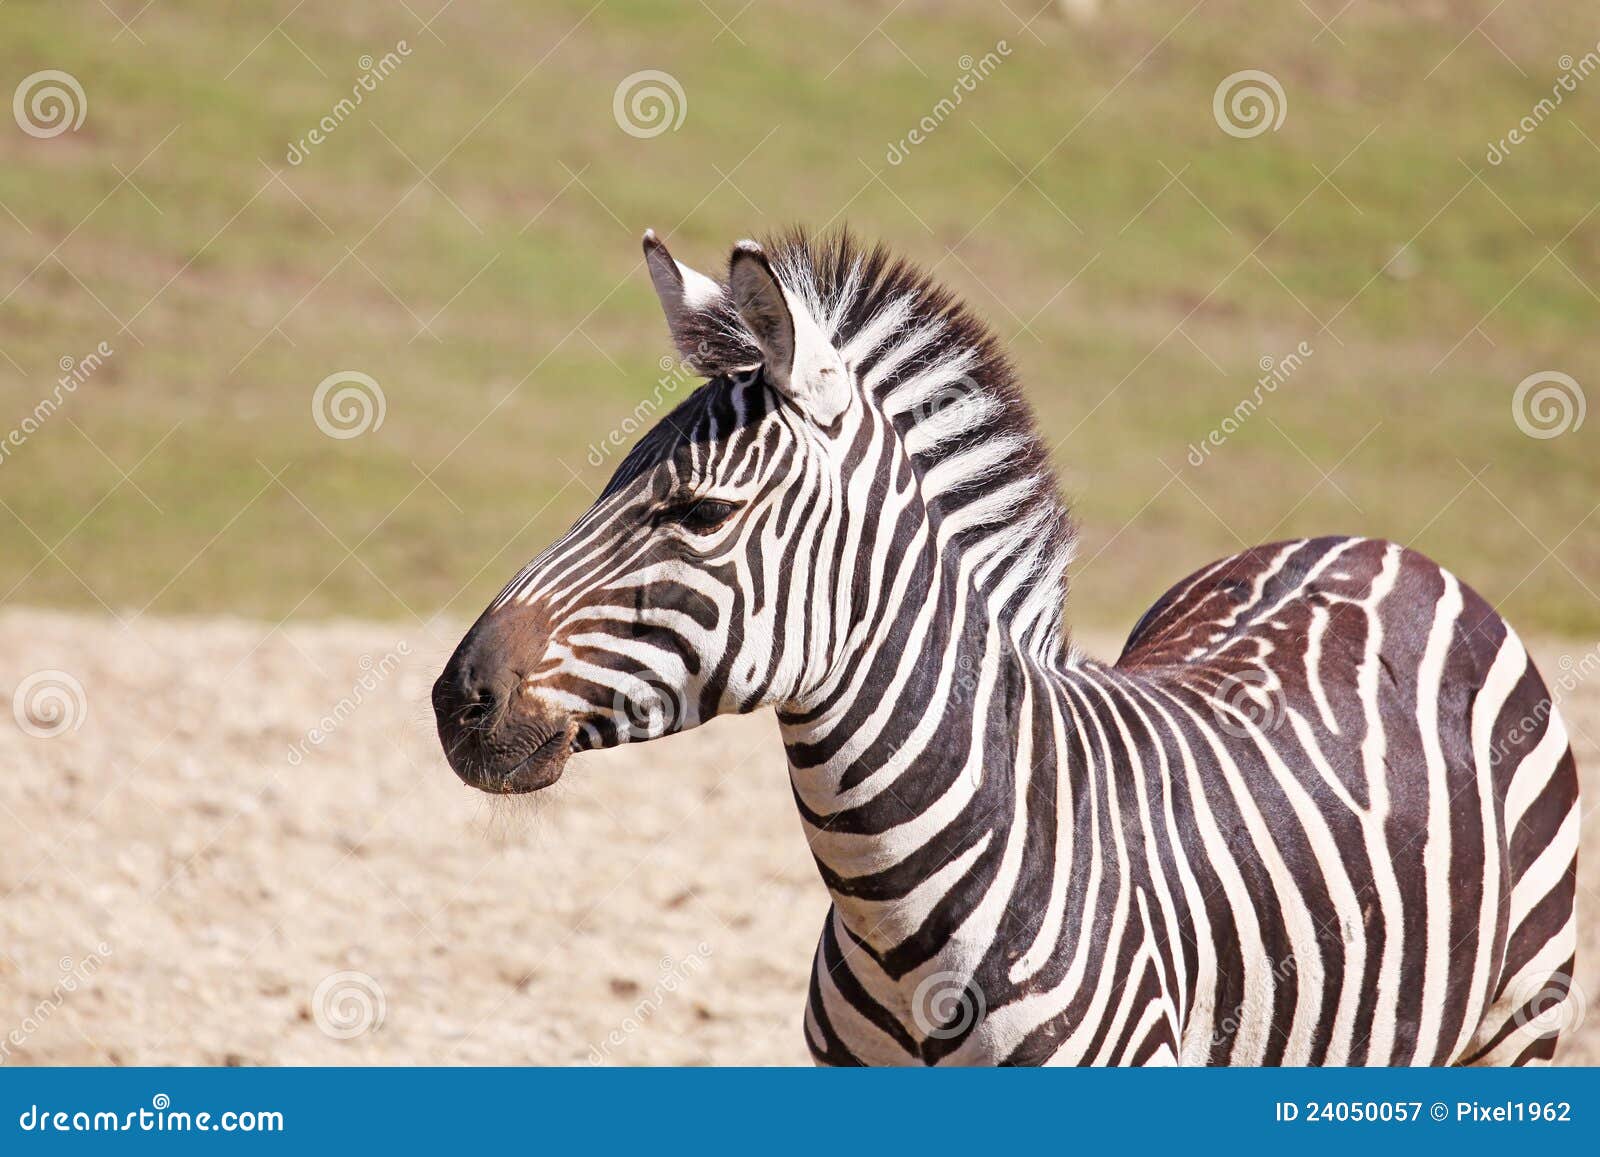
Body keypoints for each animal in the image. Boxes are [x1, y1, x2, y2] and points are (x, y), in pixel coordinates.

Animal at [433, 229, 1580, 1066]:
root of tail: (1377, 545)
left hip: (1516, 1017)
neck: (897, 913)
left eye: (701, 513)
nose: (458, 698)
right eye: (605, 482)